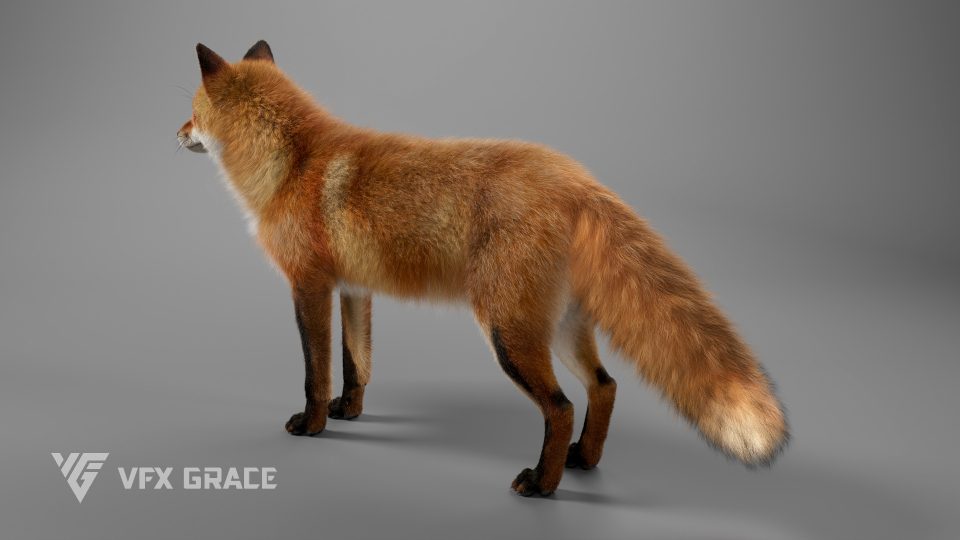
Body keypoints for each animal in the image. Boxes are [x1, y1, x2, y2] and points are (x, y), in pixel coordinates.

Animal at [177, 40, 788, 497]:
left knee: (562, 406)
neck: (290, 164)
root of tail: (577, 177)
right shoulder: (354, 290)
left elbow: (314, 371)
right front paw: (348, 412)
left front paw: (312, 425)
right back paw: (584, 461)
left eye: (193, 109)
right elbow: (357, 366)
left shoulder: (309, 286)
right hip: (558, 330)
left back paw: (543, 484)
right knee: (606, 386)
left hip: (507, 335)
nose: (176, 132)